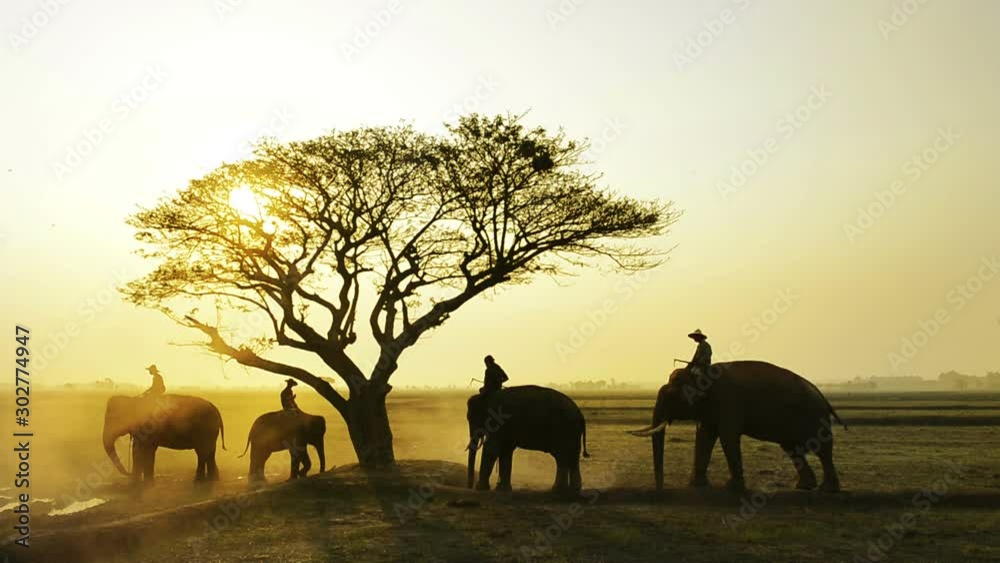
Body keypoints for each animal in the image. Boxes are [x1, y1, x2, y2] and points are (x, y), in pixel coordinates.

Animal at [628, 361, 846, 493]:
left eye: (672, 396)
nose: (660, 489)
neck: (701, 375)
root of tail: (822, 396)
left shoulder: (727, 402)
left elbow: (727, 437)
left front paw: (731, 488)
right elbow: (705, 436)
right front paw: (697, 487)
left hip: (814, 417)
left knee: (822, 450)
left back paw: (827, 489)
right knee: (792, 449)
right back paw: (805, 487)